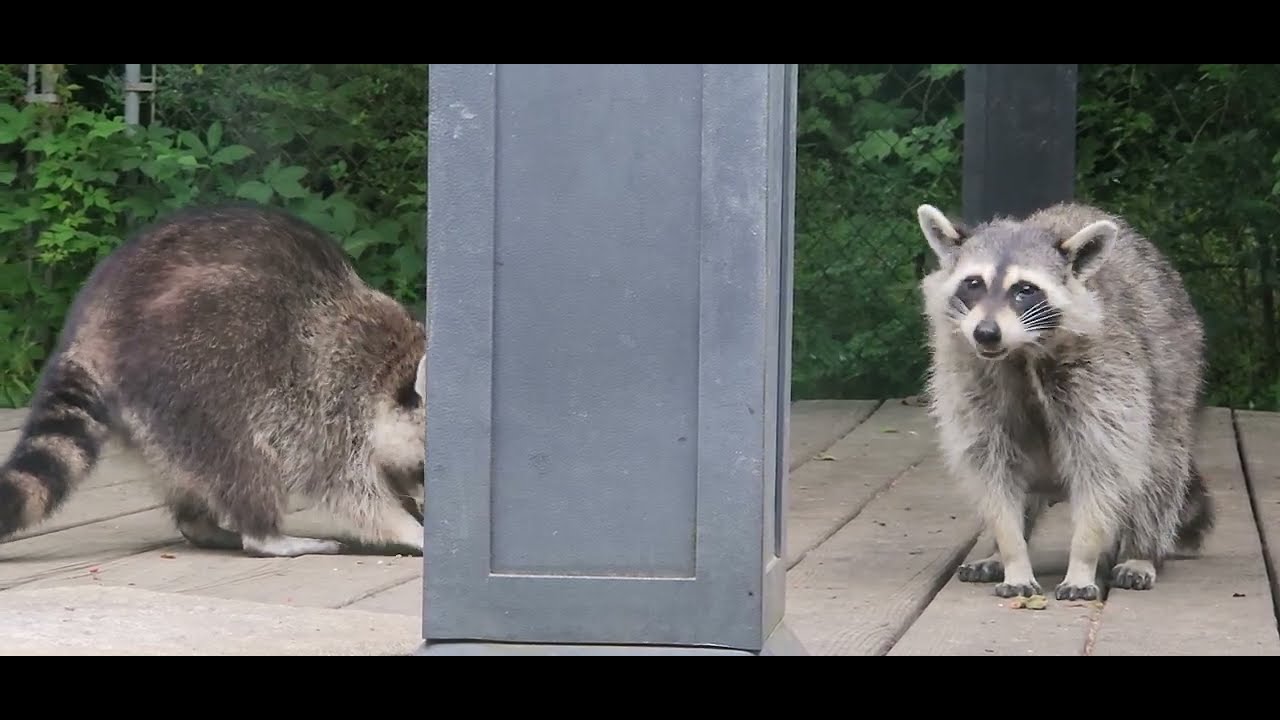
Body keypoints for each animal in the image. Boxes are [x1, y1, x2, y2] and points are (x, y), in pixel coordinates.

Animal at [0, 203, 427, 558]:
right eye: (426, 468)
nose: (427, 508)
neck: (393, 366)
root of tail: (91, 326)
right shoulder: (333, 392)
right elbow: (344, 486)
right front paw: (407, 527)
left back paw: (202, 524)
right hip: (189, 369)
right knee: (241, 456)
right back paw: (265, 534)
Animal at [915, 200, 1214, 601]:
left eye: (1025, 290)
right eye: (973, 283)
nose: (986, 333)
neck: (1020, 351)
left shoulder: (1107, 371)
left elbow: (1102, 468)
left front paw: (1084, 559)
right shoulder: (970, 378)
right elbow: (993, 471)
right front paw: (1011, 551)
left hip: (1176, 370)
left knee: (1159, 471)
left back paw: (1141, 551)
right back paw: (995, 551)